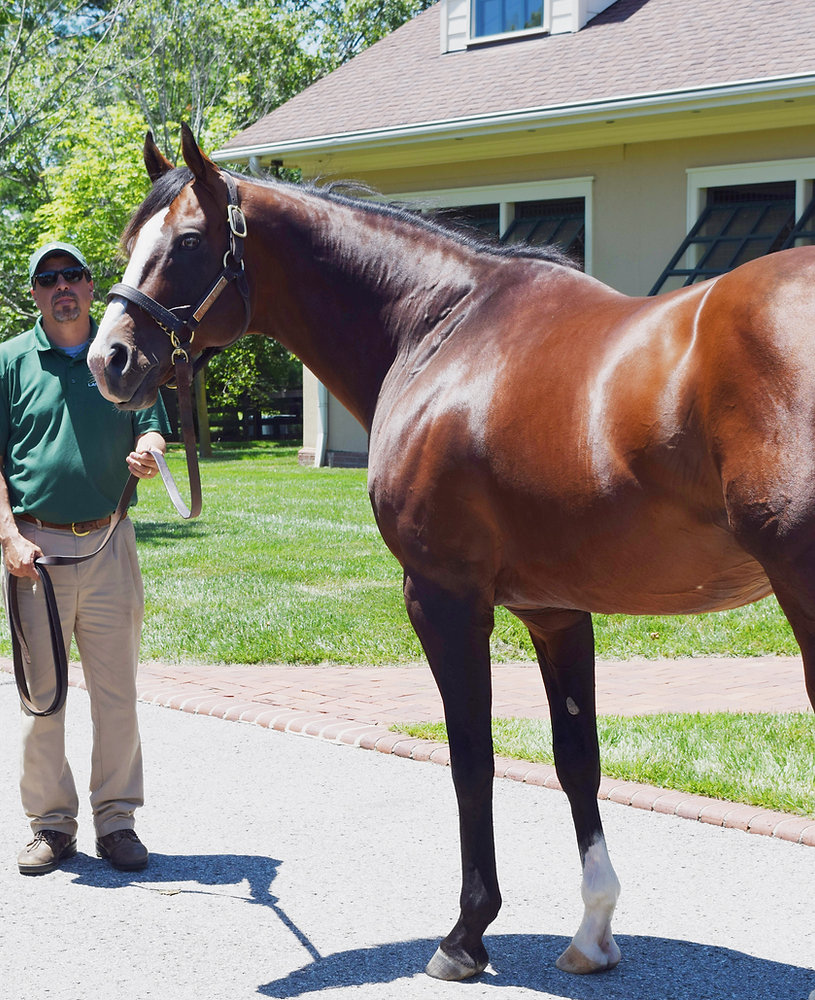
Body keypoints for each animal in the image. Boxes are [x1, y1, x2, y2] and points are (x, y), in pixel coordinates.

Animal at [88, 125, 815, 982]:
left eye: (189, 243)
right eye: (131, 244)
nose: (109, 360)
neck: (442, 329)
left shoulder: (441, 598)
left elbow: (471, 758)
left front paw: (465, 934)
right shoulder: (555, 611)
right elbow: (576, 759)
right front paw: (592, 930)